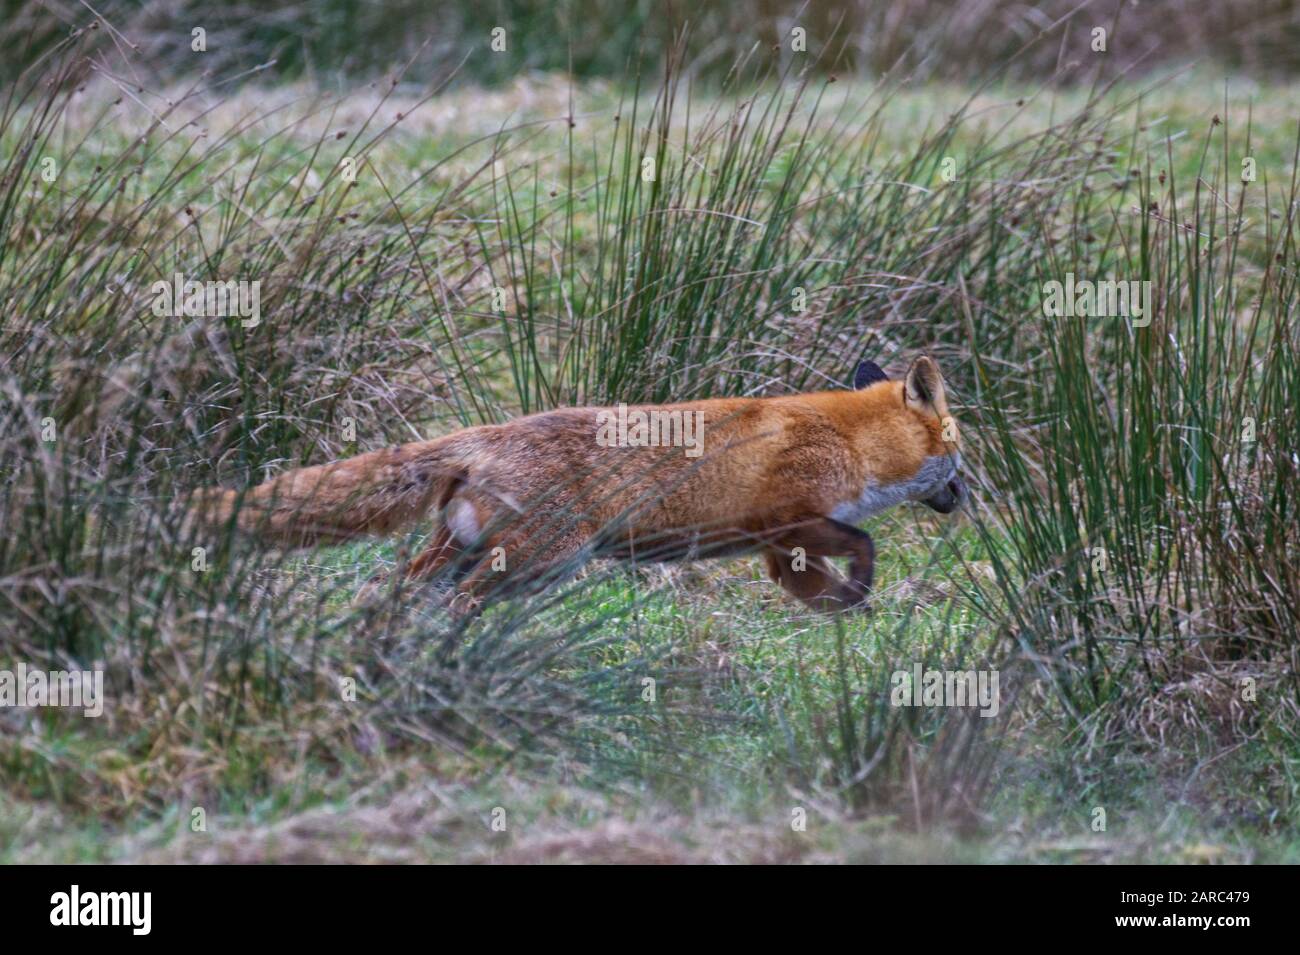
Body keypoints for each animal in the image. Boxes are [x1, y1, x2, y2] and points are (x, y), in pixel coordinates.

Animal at [189, 355, 965, 613]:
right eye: (960, 447)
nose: (966, 498)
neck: (848, 439)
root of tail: (485, 433)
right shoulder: (785, 519)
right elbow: (865, 545)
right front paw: (862, 598)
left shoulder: (780, 553)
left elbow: (824, 585)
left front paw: (848, 614)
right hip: (540, 561)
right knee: (456, 605)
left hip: (462, 552)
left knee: (392, 589)